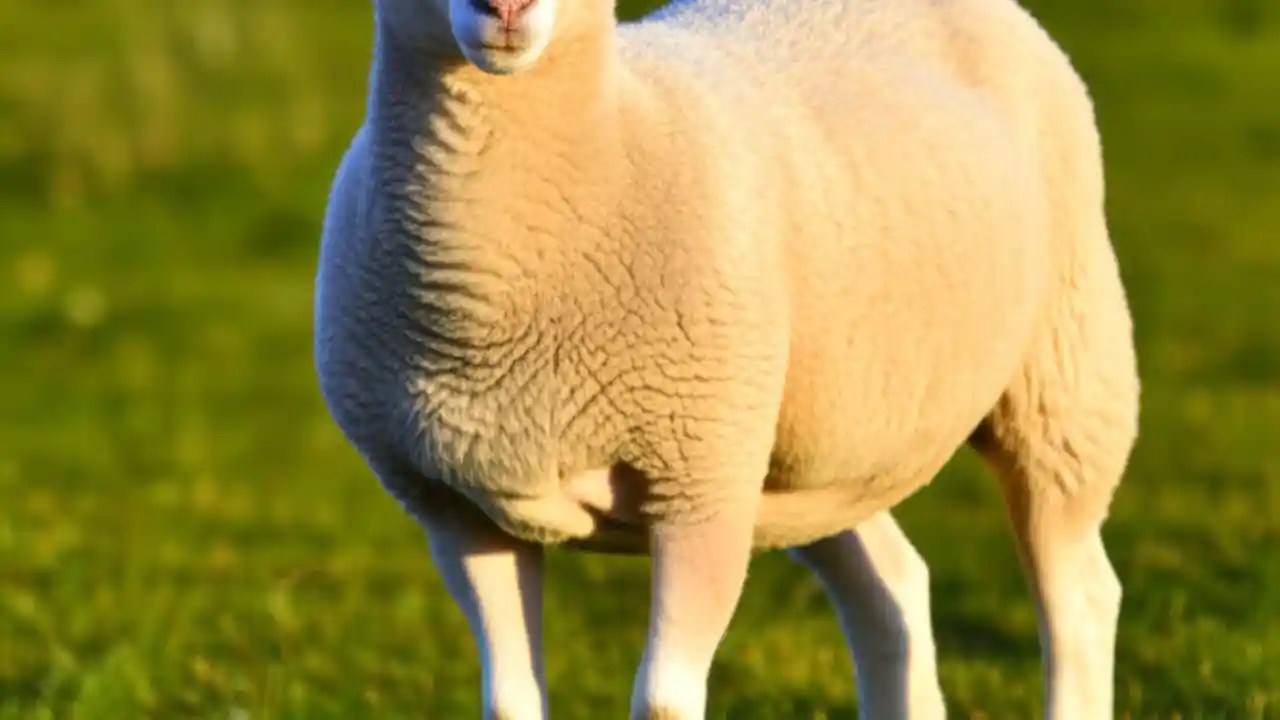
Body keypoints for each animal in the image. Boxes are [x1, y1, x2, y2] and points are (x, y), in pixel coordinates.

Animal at [313, 0, 1140, 717]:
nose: (507, 10)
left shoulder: (698, 486)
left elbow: (664, 702)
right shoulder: (460, 511)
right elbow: (511, 703)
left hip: (1067, 371)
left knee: (1079, 594)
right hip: (807, 461)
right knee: (890, 586)